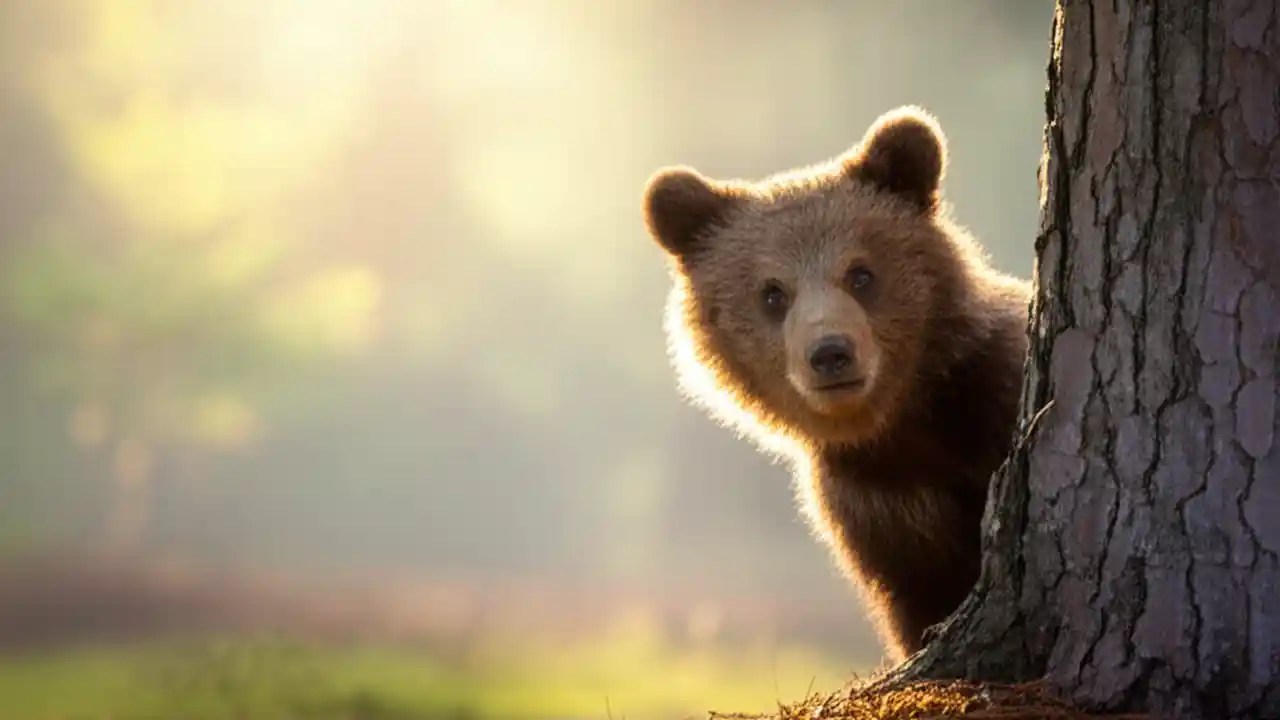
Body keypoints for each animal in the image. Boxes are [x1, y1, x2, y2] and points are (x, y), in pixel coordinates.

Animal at [641, 106, 1031, 661]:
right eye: (773, 293)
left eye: (860, 274)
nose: (830, 352)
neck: (905, 425)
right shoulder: (877, 507)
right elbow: (918, 600)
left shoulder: (991, 408)